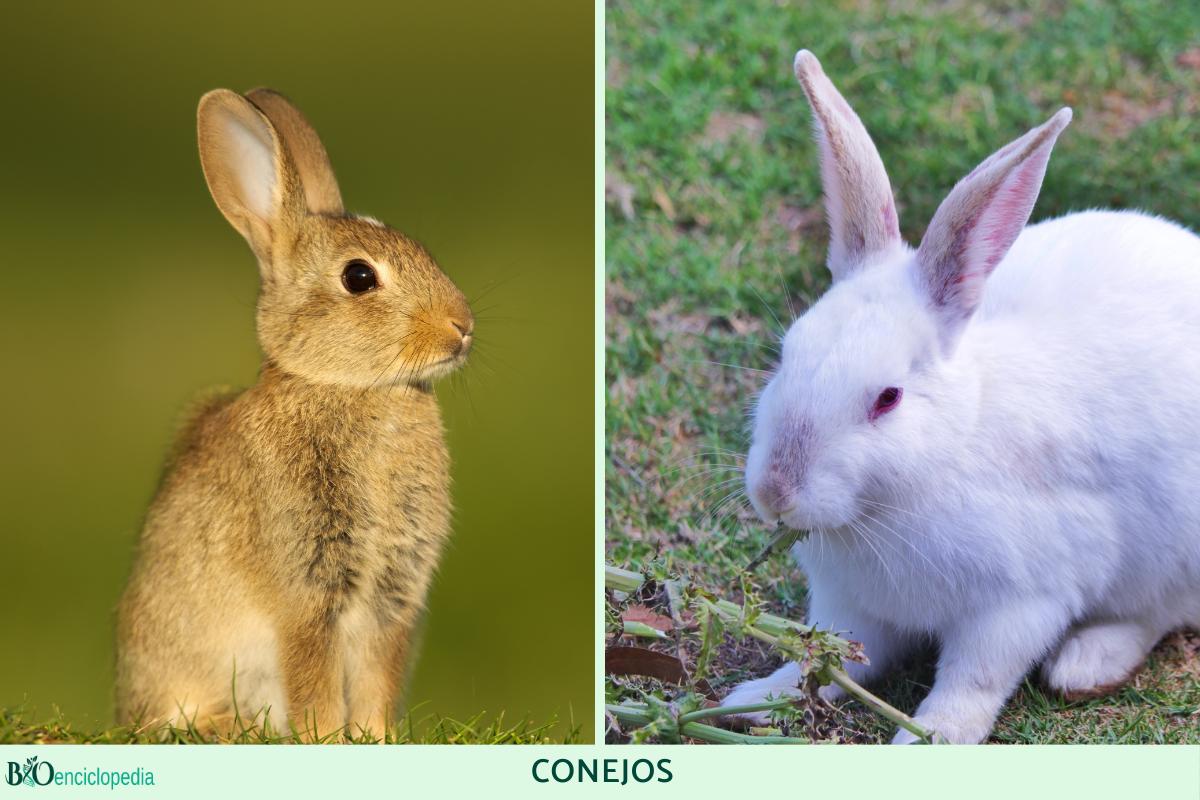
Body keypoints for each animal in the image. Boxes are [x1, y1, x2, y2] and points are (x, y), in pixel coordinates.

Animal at [115, 87, 474, 740]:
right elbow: (313, 673)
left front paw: (375, 737)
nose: (462, 327)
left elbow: (377, 675)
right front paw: (326, 738)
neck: (354, 388)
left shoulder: (392, 596)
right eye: (359, 277)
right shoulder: (306, 588)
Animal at [719, 50, 1200, 743]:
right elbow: (828, 655)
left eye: (888, 398)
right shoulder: (852, 607)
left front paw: (931, 739)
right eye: (786, 355)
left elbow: (973, 680)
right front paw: (755, 698)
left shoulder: (1019, 604)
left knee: (1159, 613)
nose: (775, 492)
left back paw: (1086, 663)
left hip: (1173, 553)